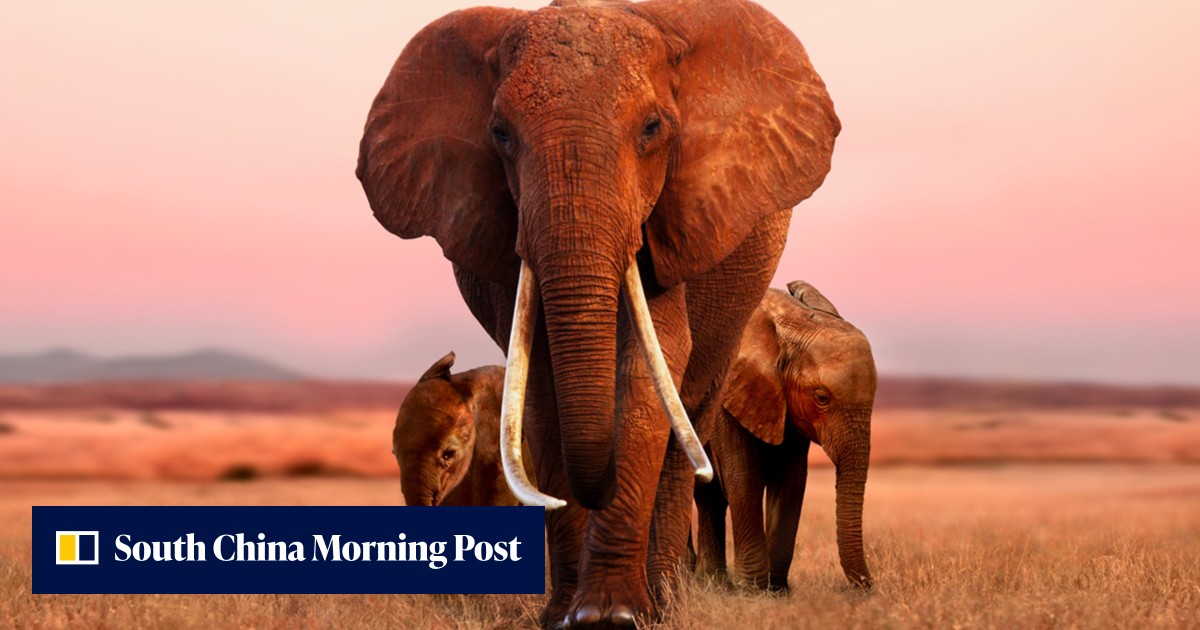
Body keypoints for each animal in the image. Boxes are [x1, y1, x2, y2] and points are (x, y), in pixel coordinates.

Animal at [693, 281, 875, 592]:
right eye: (822, 398)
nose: (870, 586)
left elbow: (791, 480)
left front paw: (777, 591)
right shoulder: (727, 394)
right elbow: (743, 476)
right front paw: (753, 591)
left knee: (708, 496)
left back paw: (711, 584)